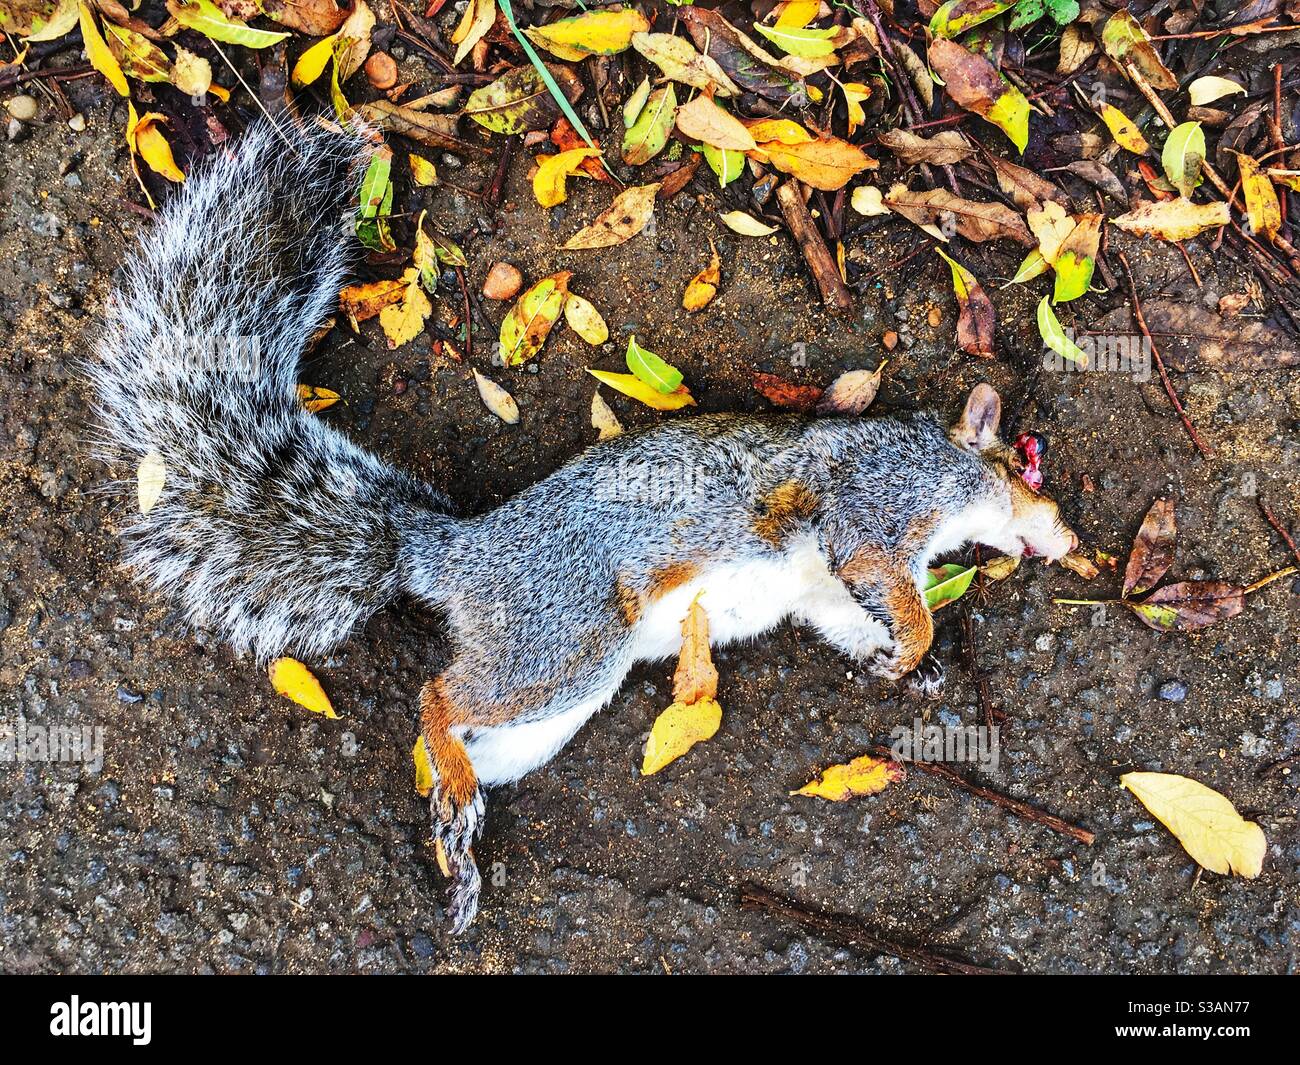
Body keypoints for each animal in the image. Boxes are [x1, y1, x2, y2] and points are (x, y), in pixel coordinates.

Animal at [89, 121, 1078, 933]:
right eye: (1029, 468)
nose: (1068, 541)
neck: (942, 472)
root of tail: (454, 553)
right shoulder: (876, 505)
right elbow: (886, 577)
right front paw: (915, 642)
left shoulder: (825, 588)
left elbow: (844, 615)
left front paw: (896, 664)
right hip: (565, 639)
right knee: (441, 696)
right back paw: (451, 781)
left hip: (558, 697)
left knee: (456, 736)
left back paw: (452, 818)